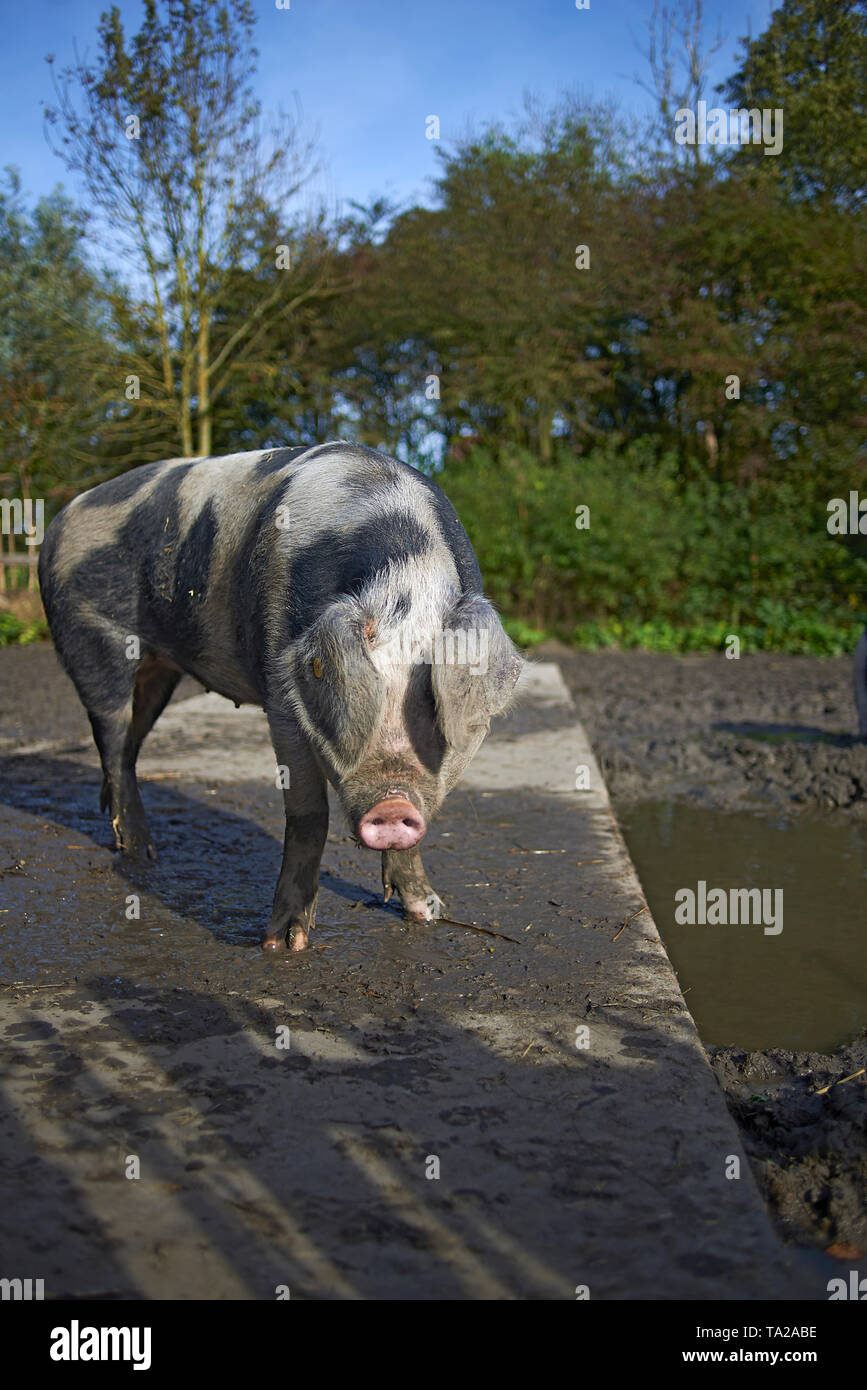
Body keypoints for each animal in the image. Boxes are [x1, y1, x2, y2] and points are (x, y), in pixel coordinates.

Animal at [38, 442, 523, 950]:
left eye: (432, 708)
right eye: (354, 698)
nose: (393, 806)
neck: (406, 574)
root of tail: (60, 518)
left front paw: (428, 913)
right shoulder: (282, 693)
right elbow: (309, 816)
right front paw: (283, 943)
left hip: (158, 674)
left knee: (127, 749)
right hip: (91, 641)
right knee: (111, 737)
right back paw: (141, 853)